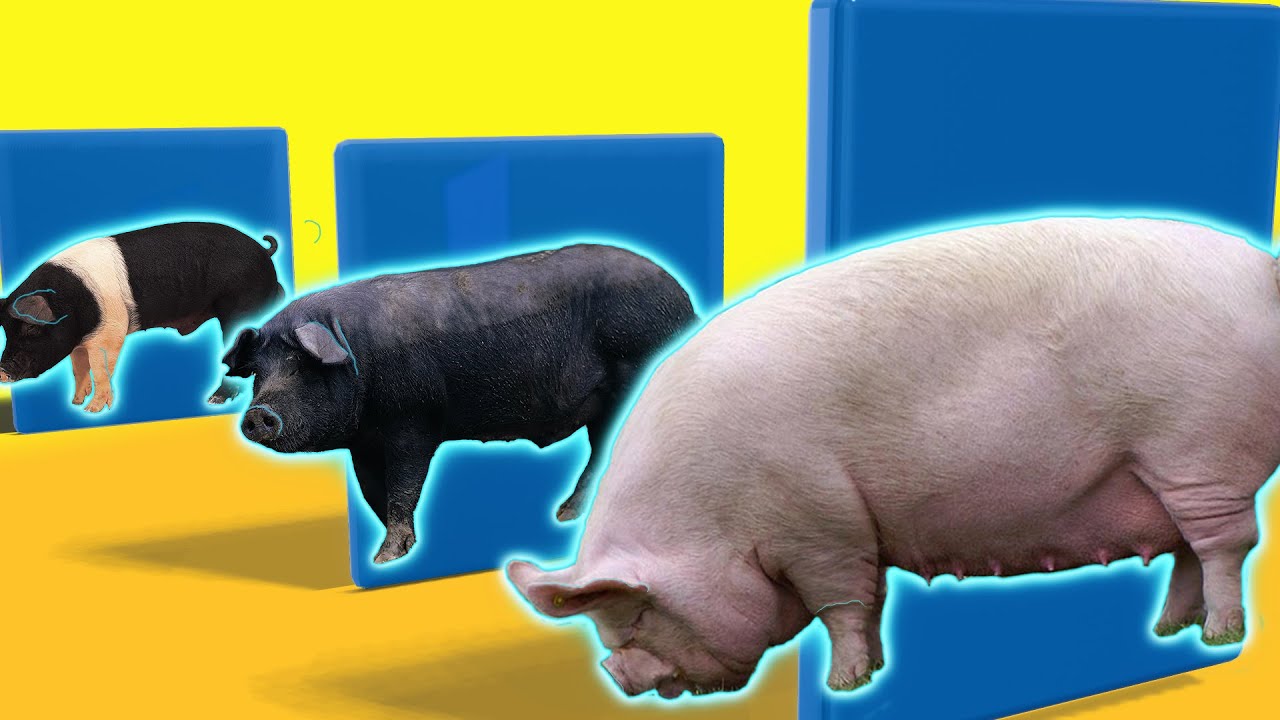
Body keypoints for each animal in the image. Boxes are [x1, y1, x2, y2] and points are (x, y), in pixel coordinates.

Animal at [0, 221, 285, 410]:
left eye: (30, 328)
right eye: (6, 329)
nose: (2, 371)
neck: (74, 303)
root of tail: (264, 253)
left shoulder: (111, 333)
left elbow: (101, 370)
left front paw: (92, 410)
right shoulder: (79, 342)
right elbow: (78, 368)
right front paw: (76, 402)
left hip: (243, 308)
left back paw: (213, 401)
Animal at [223, 243, 698, 564]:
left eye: (301, 365)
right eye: (259, 372)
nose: (258, 414)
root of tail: (684, 301)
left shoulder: (412, 420)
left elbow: (403, 487)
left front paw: (387, 557)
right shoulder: (364, 442)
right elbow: (374, 492)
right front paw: (385, 555)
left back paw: (567, 515)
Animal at [507, 216, 1280, 699]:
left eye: (634, 618)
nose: (618, 676)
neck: (714, 509)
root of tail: (1262, 270)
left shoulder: (818, 520)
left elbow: (841, 603)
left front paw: (843, 686)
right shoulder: (855, 526)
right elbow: (871, 601)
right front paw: (872, 673)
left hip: (1198, 452)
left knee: (1223, 547)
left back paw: (1220, 636)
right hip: (1165, 474)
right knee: (1185, 551)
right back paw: (1168, 631)